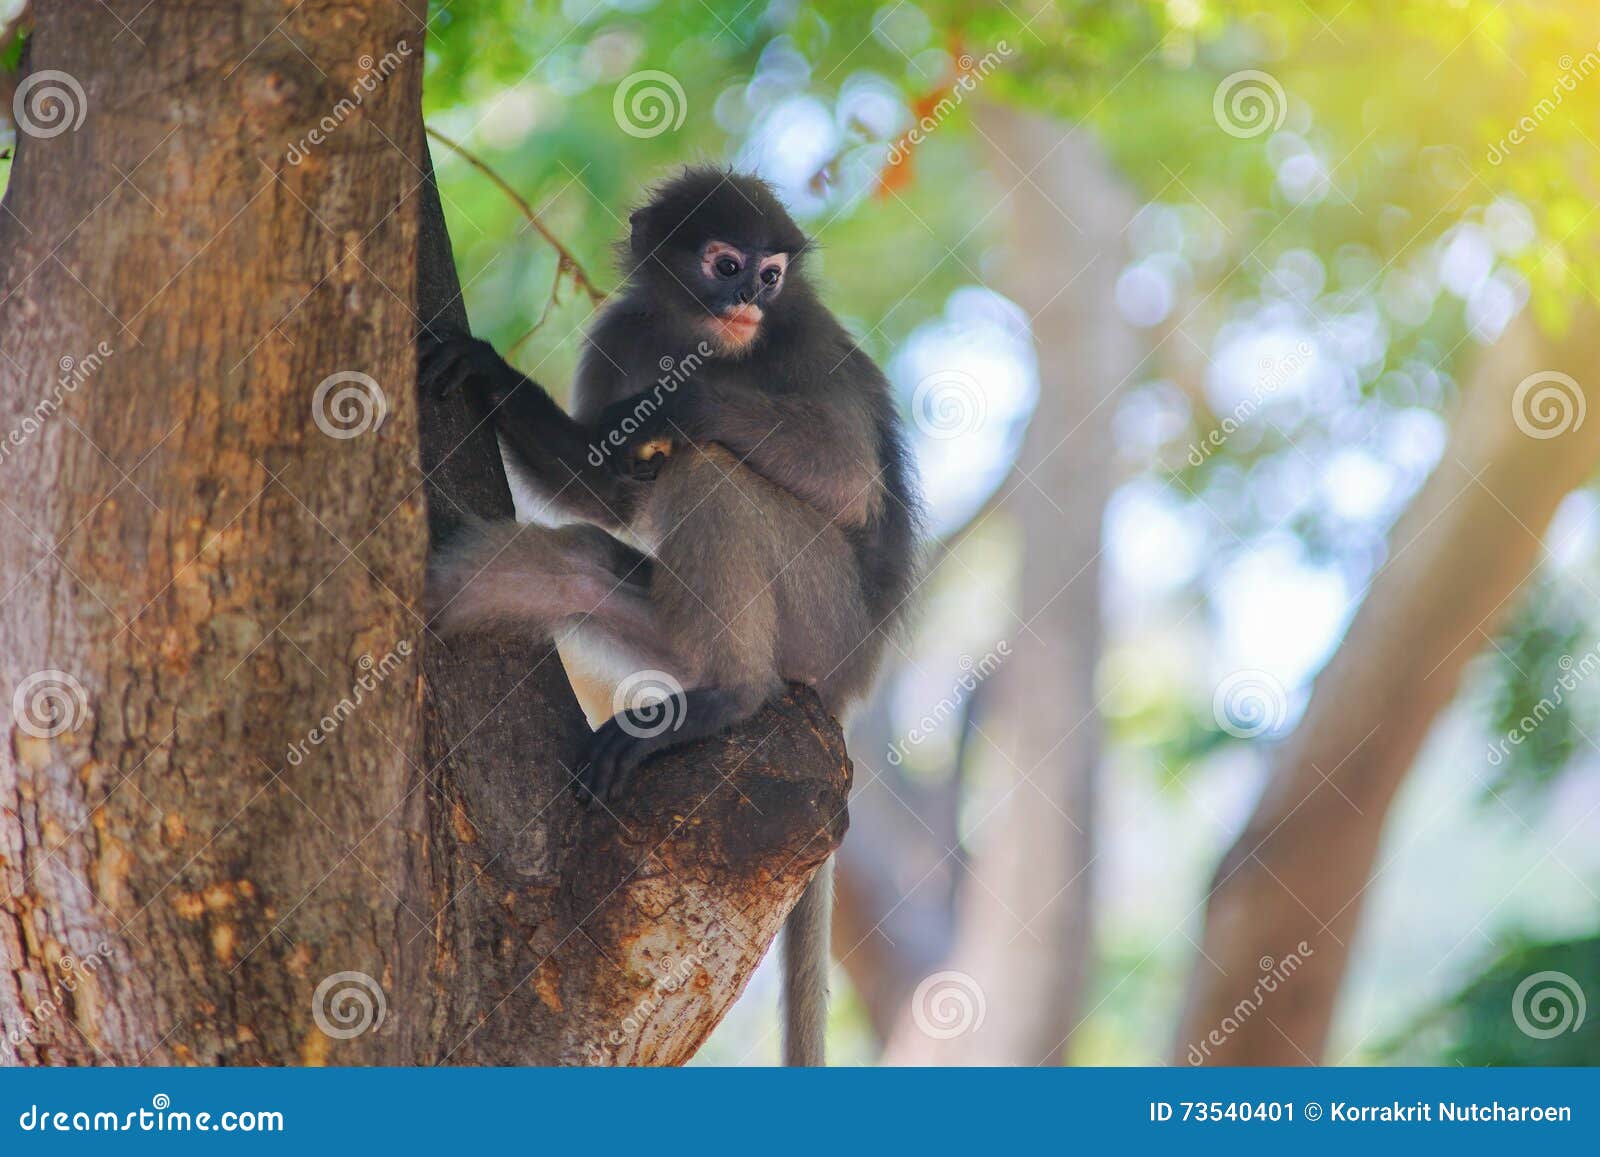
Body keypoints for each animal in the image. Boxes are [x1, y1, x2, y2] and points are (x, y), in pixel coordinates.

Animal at [419, 167, 921, 1066]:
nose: (749, 298)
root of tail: (847, 686)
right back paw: (445, 594)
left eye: (770, 275)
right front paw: (493, 377)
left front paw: (681, 399)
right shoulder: (621, 330)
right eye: (725, 263)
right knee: (587, 562)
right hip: (673, 626)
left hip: (822, 618)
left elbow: (846, 480)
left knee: (711, 471)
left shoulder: (804, 339)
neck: (706, 337)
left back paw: (729, 696)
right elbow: (607, 494)